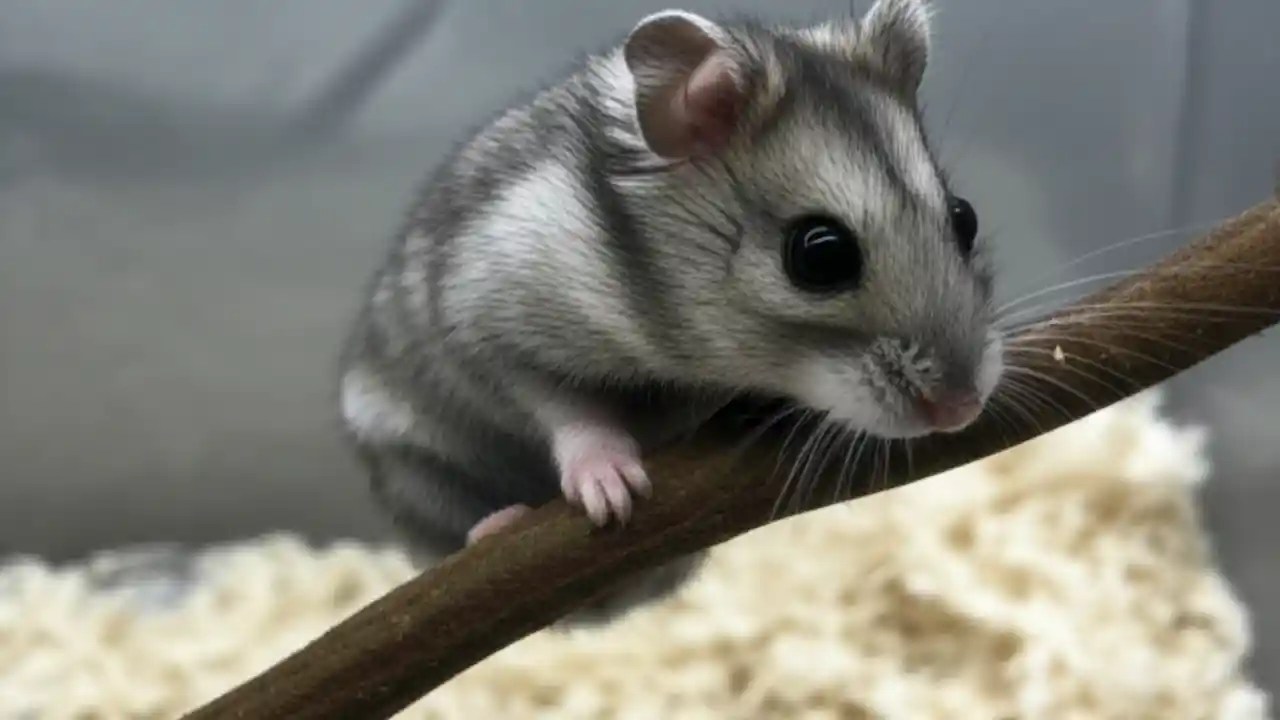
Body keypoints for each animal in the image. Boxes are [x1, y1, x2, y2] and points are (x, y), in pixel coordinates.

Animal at [337, 0, 1005, 626]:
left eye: (964, 216)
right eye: (819, 254)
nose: (961, 410)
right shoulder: (491, 323)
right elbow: (567, 409)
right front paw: (613, 494)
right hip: (412, 467)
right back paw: (495, 527)